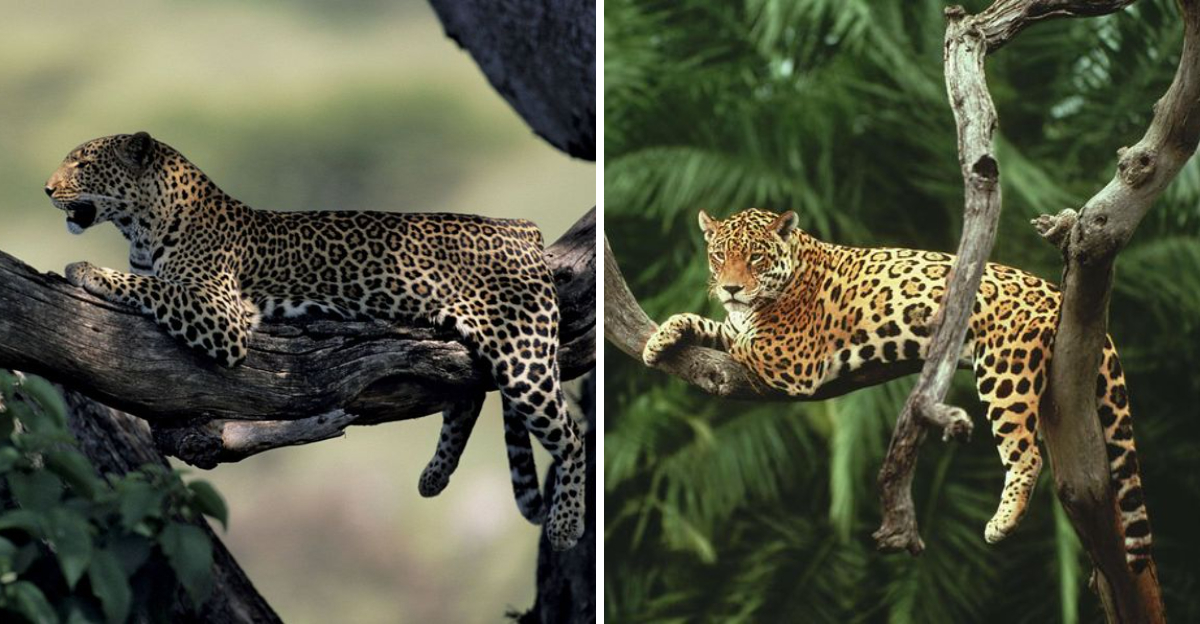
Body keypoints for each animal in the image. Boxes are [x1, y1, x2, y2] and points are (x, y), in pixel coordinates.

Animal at [44, 131, 585, 551]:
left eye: (84, 164)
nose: (47, 189)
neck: (142, 225)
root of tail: (518, 225)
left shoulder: (222, 314)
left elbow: (151, 287)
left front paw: (86, 269)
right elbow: (151, 283)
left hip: (521, 352)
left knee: (573, 435)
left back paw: (565, 526)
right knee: (467, 394)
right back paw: (434, 476)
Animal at [643, 207, 1151, 572]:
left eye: (756, 258)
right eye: (718, 256)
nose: (731, 288)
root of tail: (1055, 292)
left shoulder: (791, 358)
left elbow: (740, 339)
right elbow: (712, 324)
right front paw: (660, 338)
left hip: (1004, 371)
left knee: (1026, 454)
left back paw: (1001, 523)